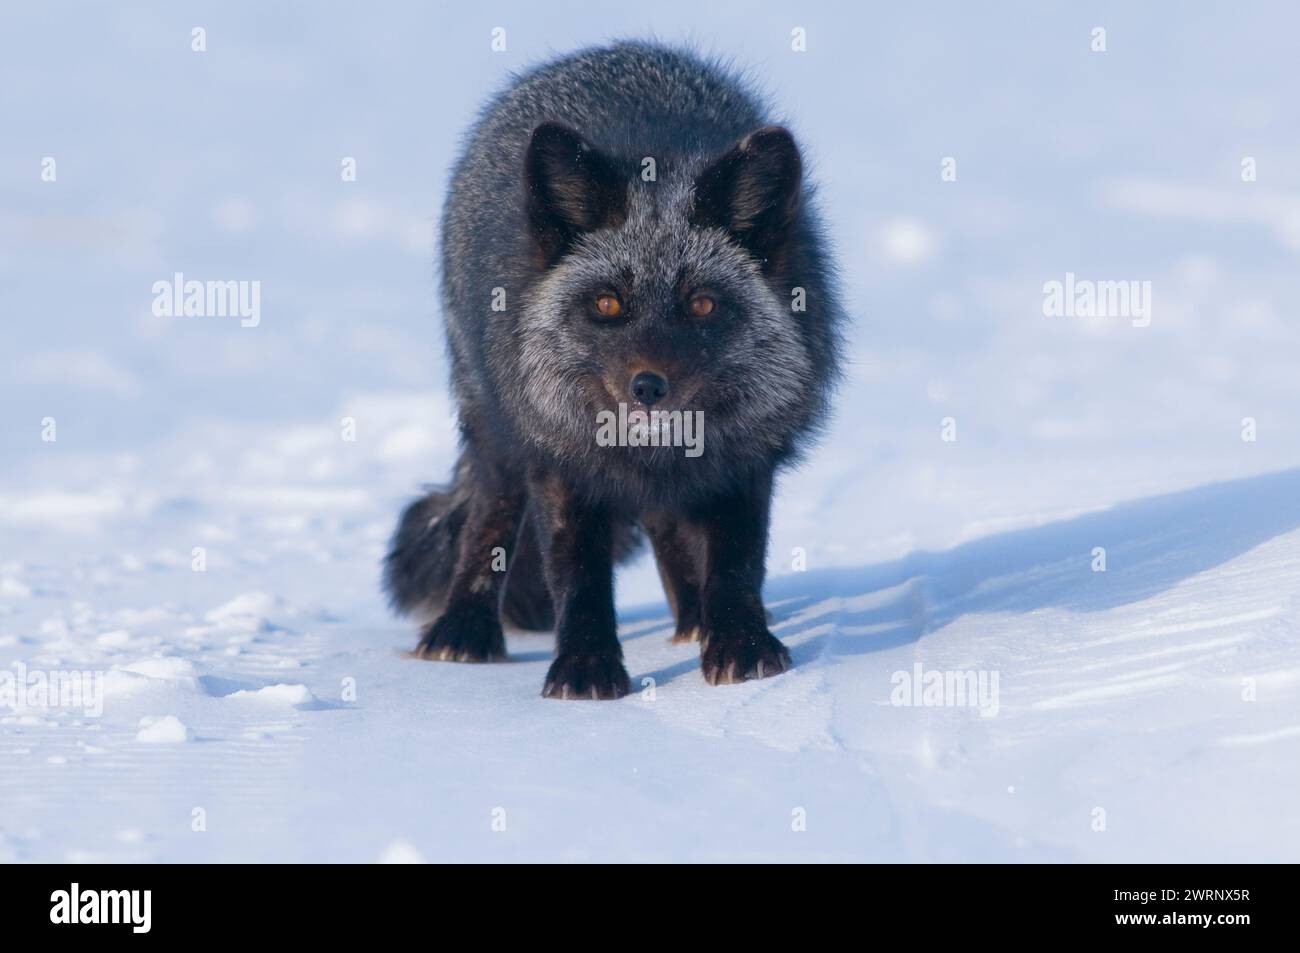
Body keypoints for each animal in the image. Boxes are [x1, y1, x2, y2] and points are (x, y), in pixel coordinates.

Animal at [384, 41, 844, 699]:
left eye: (702, 304)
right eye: (607, 304)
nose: (648, 388)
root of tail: (607, 51)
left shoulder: (745, 457)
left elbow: (735, 562)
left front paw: (740, 645)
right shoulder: (559, 463)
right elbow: (578, 576)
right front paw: (586, 668)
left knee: (664, 525)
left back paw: (692, 620)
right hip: (494, 427)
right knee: (488, 519)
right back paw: (462, 632)